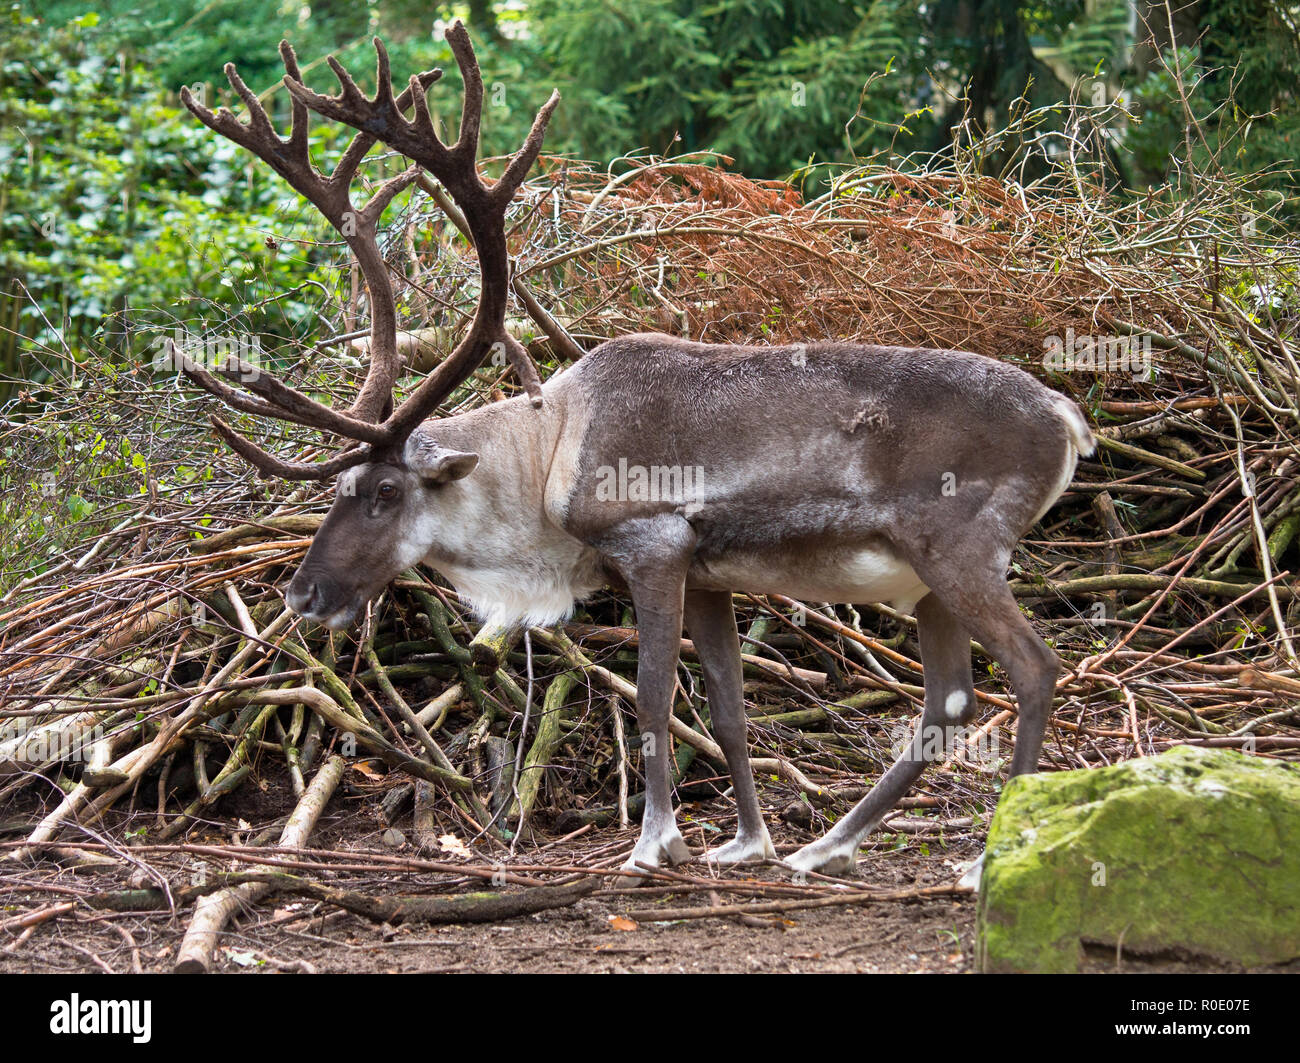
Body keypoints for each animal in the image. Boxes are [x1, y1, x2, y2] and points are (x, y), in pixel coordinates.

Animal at [174, 22, 1094, 881]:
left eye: (386, 491)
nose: (302, 593)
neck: (548, 456)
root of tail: (1066, 414)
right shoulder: (713, 572)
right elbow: (725, 705)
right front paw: (747, 841)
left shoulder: (653, 541)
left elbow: (655, 697)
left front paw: (655, 843)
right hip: (925, 577)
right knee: (949, 699)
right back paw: (823, 845)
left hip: (960, 545)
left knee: (1034, 667)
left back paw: (987, 853)